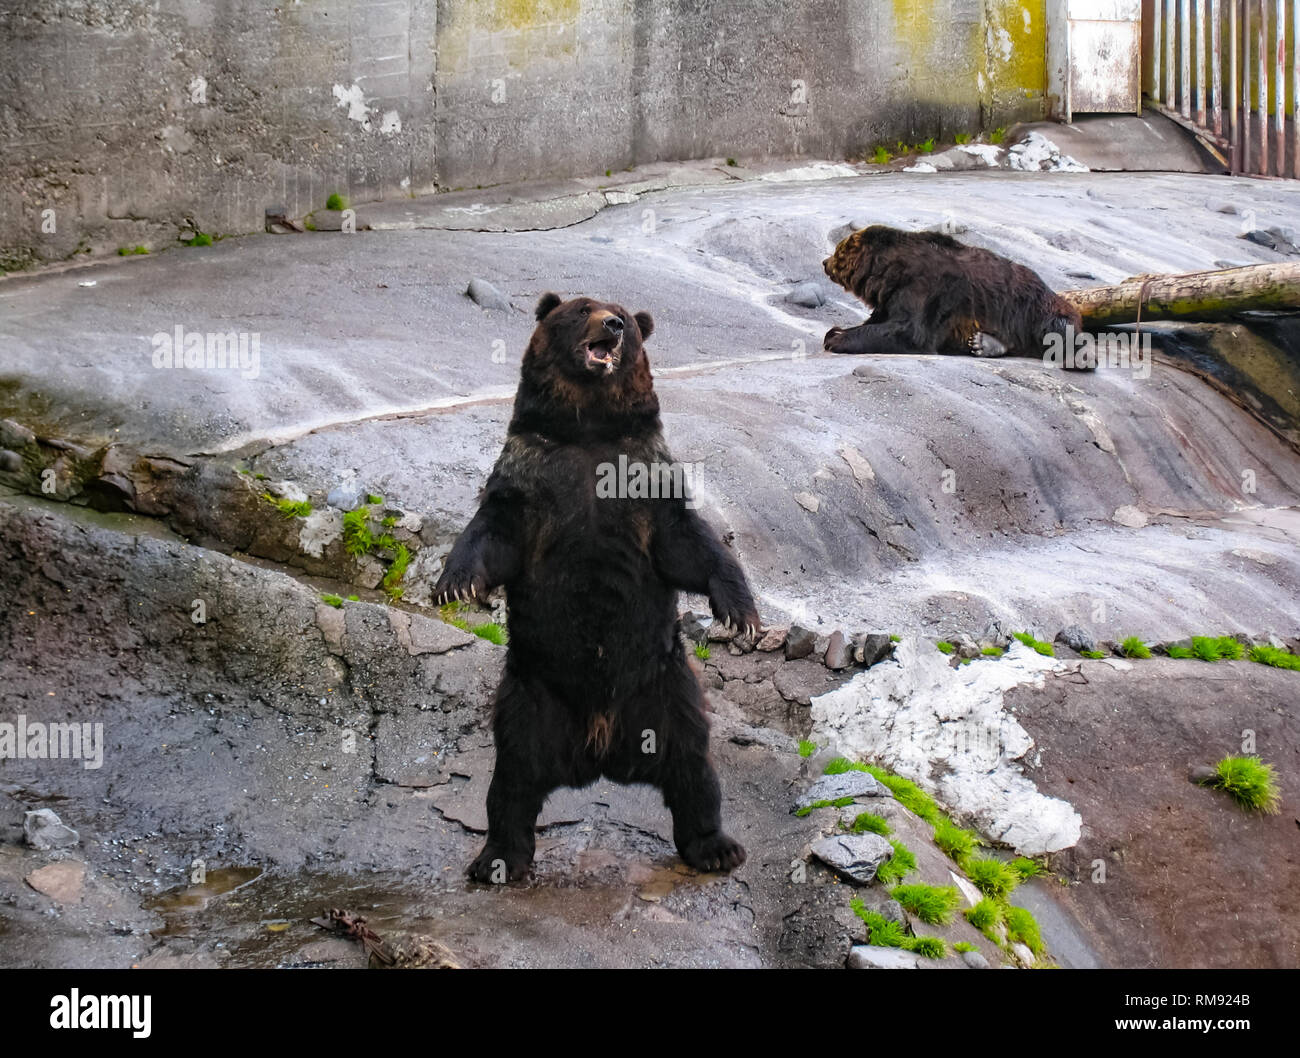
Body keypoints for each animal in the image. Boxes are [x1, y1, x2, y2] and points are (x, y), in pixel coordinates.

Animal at [433, 292, 760, 883]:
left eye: (625, 317)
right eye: (582, 308)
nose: (611, 325)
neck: (587, 431)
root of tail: (602, 751)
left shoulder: (646, 477)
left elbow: (689, 543)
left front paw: (740, 612)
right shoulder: (531, 473)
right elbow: (492, 530)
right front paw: (454, 585)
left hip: (667, 688)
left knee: (693, 763)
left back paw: (716, 847)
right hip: (530, 694)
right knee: (512, 776)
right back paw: (497, 859)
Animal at [820, 224, 1083, 361]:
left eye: (838, 250)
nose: (824, 262)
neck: (890, 273)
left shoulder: (924, 288)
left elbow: (911, 332)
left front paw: (837, 338)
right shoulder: (891, 297)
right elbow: (880, 320)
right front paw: (836, 330)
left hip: (1037, 309)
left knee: (1058, 333)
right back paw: (983, 343)